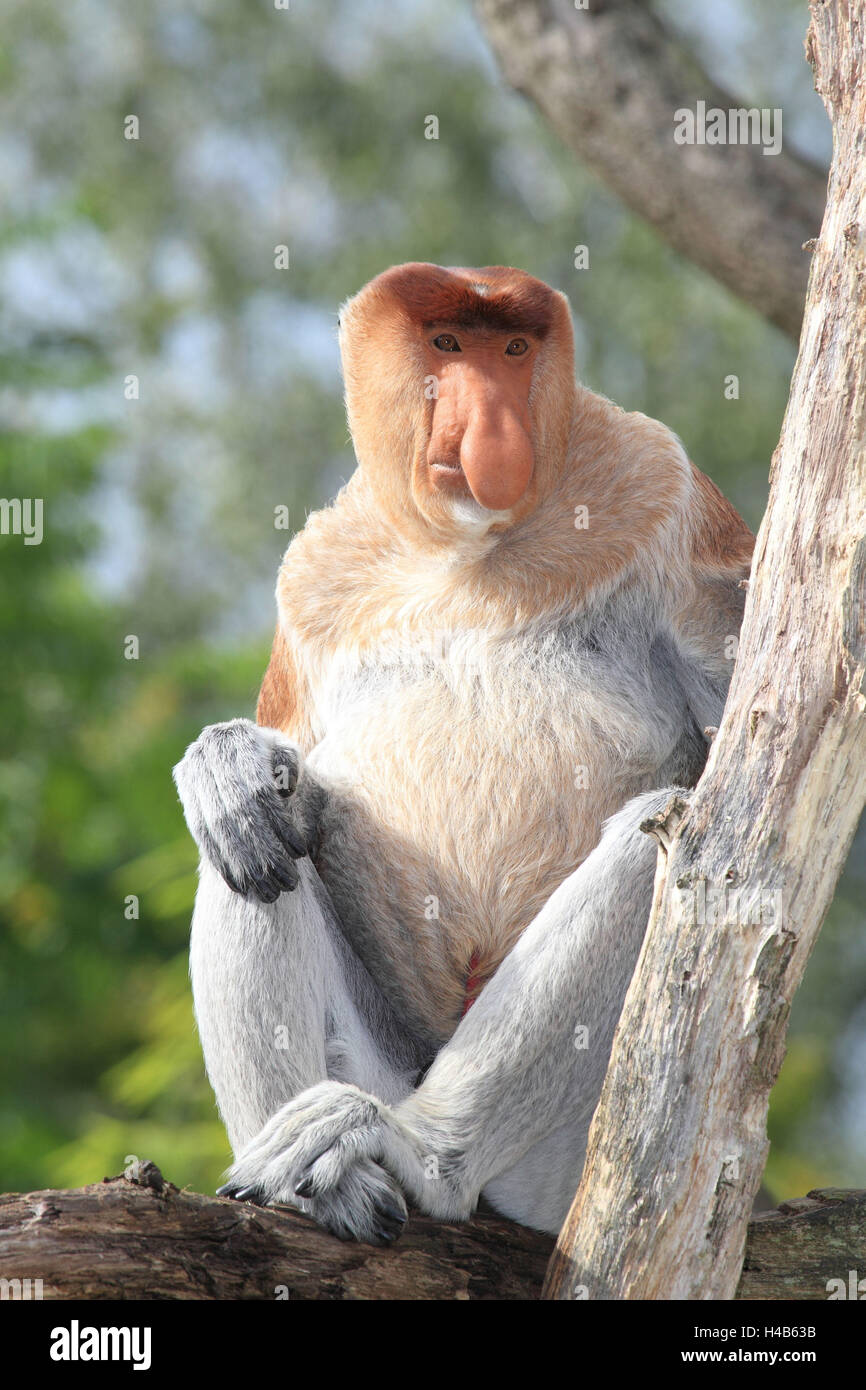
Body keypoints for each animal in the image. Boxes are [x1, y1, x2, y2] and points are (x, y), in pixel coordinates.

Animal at [173, 262, 753, 1243]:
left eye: (513, 350)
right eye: (447, 344)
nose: (488, 422)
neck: (466, 548)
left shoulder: (668, 492)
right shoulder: (311, 574)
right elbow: (287, 790)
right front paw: (232, 767)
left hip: (563, 1168)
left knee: (663, 844)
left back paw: (419, 1157)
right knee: (248, 861)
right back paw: (328, 1189)